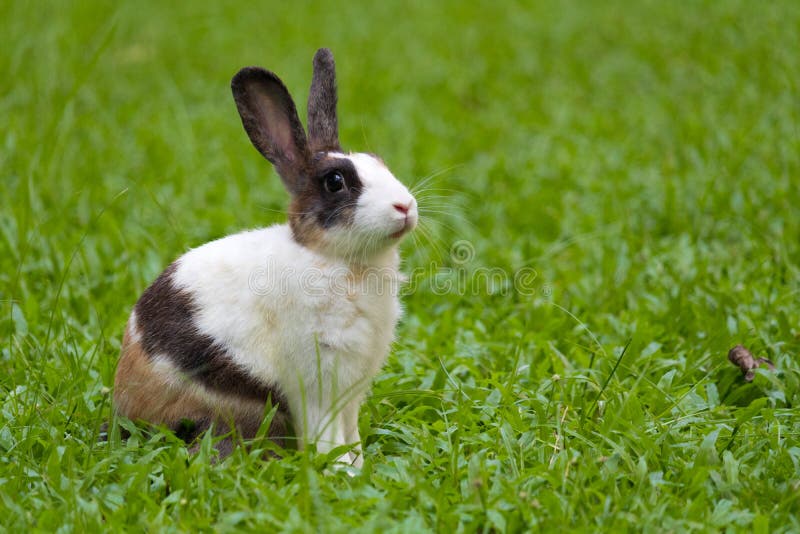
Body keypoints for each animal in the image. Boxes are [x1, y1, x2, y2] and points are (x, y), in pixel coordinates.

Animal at [113, 48, 417, 465]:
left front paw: (359, 464)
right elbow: (326, 434)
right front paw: (341, 470)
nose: (405, 206)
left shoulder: (351, 390)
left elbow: (350, 430)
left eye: (379, 161)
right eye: (335, 181)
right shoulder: (317, 382)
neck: (336, 260)